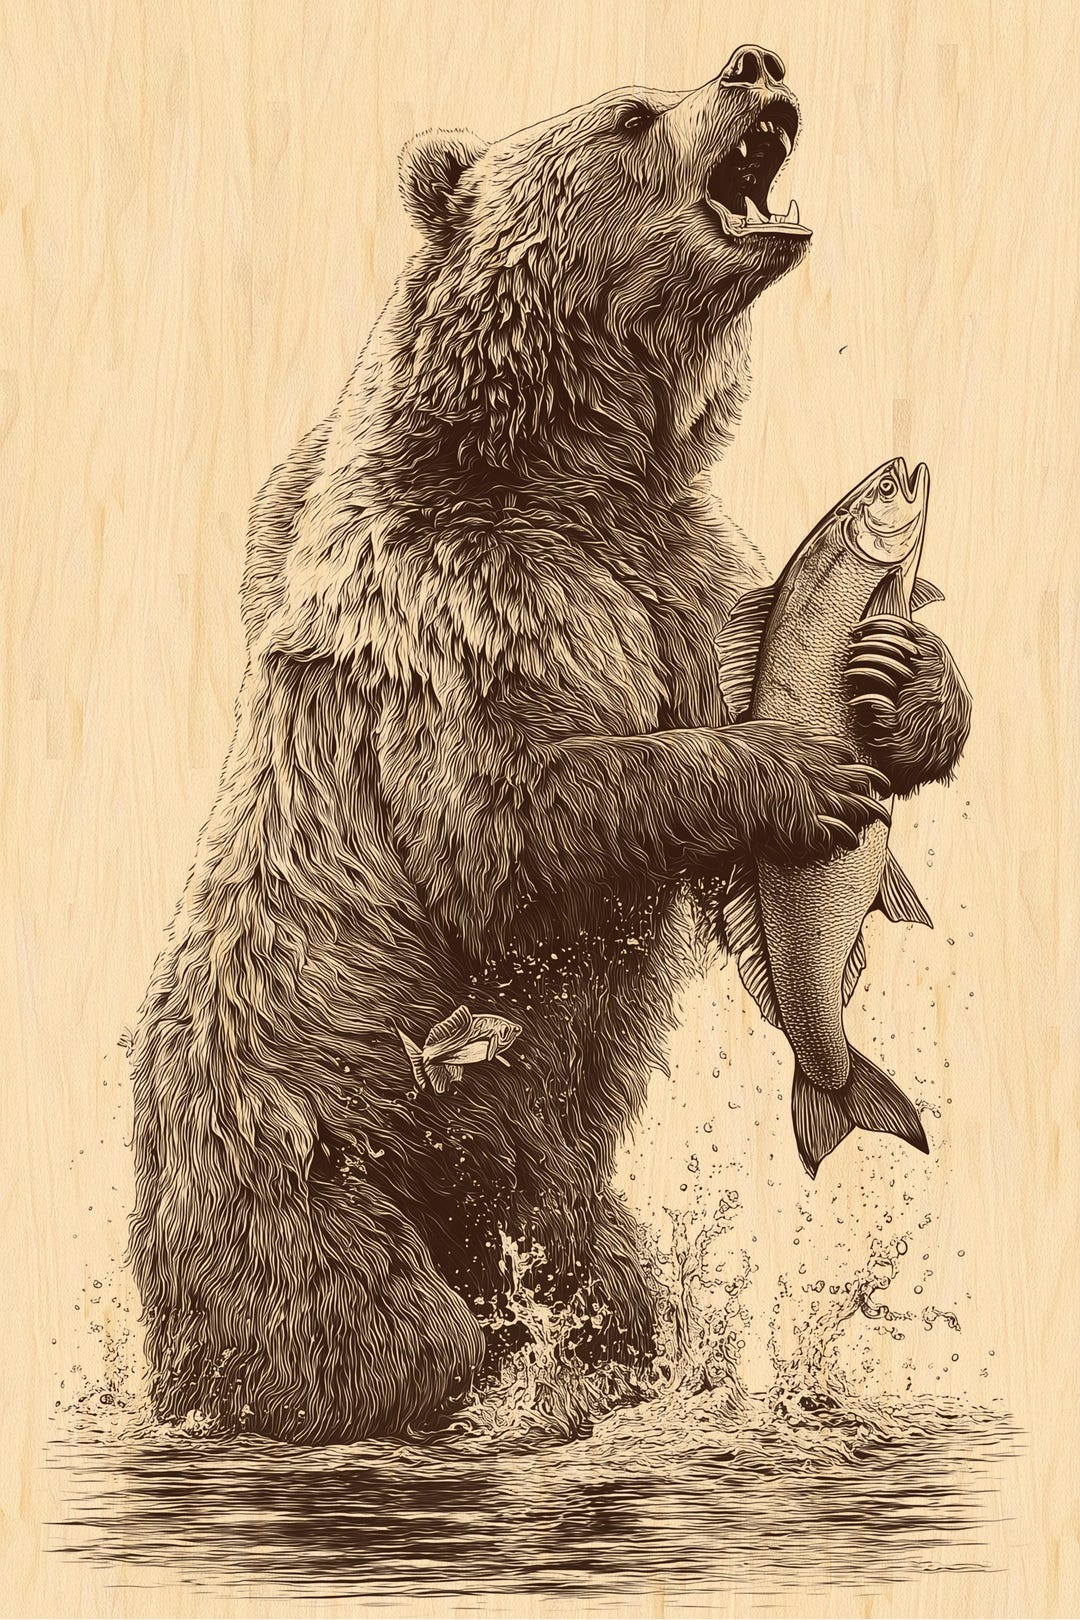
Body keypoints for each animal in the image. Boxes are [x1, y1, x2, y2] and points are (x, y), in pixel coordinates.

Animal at [127, 49, 971, 1444]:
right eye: (629, 114)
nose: (758, 62)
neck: (574, 460)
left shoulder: (674, 571)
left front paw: (906, 688)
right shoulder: (462, 612)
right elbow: (518, 814)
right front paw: (796, 769)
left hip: (545, 1181)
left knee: (606, 1286)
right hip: (304, 1153)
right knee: (365, 1329)